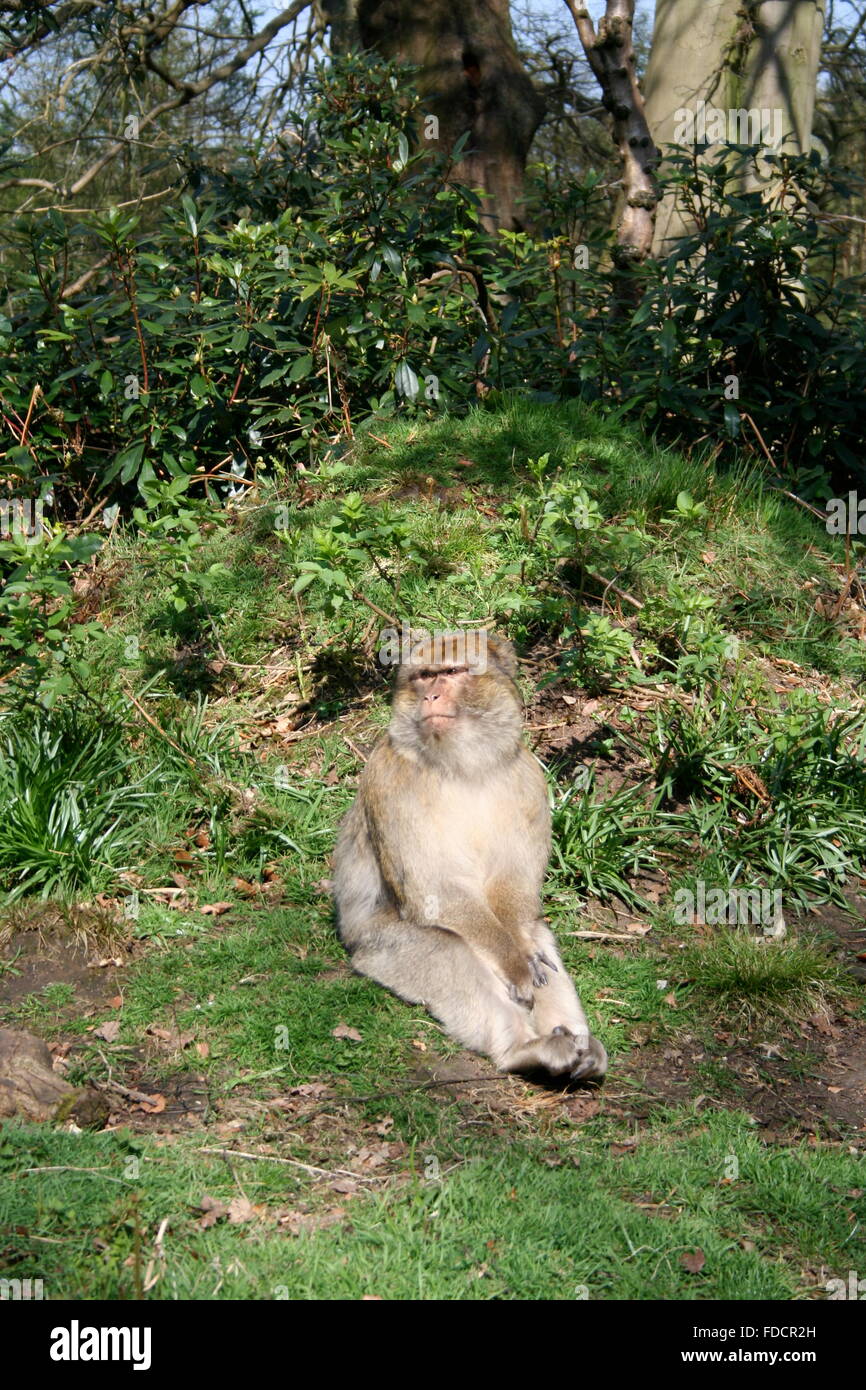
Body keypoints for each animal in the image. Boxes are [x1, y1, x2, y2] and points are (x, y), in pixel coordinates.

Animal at [332, 630, 607, 1083]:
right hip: (379, 951)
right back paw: (521, 1050)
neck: (463, 765)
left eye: (452, 671)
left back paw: (577, 1048)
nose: (432, 696)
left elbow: (514, 886)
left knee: (537, 933)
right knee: (449, 949)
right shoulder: (390, 777)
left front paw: (522, 951)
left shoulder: (527, 776)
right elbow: (436, 892)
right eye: (424, 676)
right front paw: (514, 964)